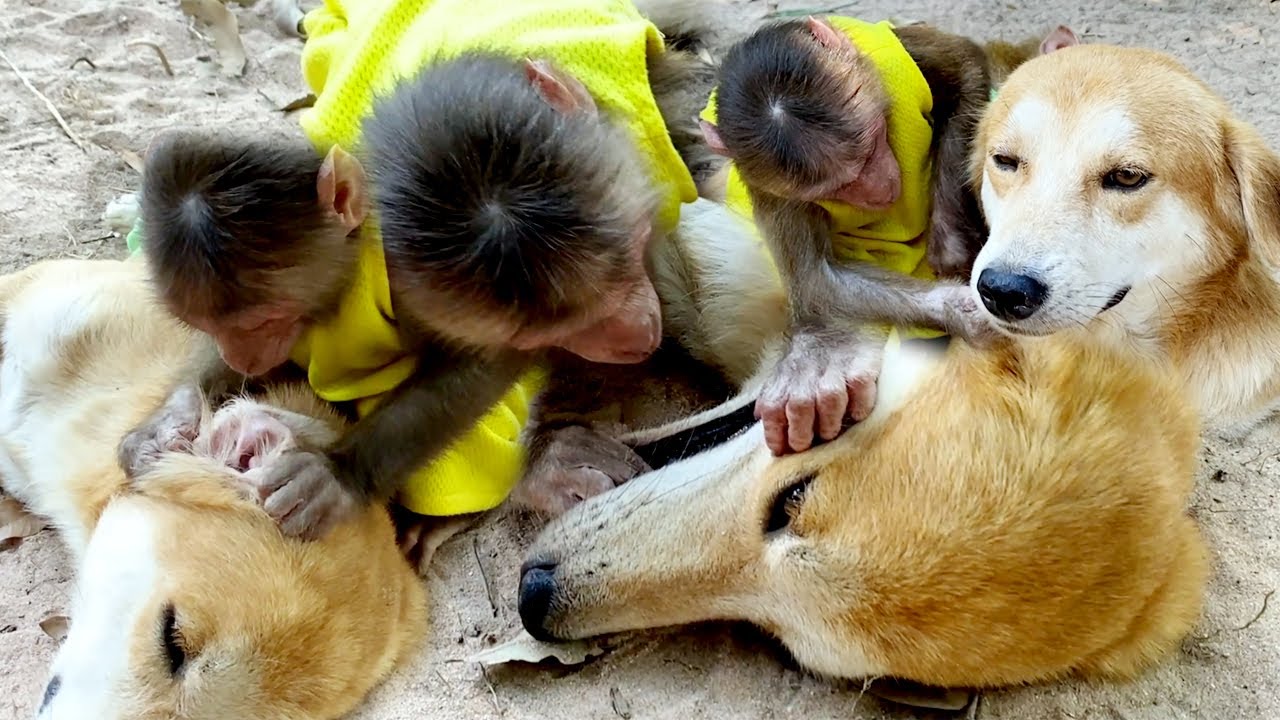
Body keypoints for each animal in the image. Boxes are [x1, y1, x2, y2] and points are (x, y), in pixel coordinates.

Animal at [121, 0, 732, 534]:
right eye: (222, 329)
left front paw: (341, 473)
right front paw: (172, 414)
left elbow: (478, 365)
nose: (639, 335)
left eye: (264, 322)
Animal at [697, 17, 1079, 456]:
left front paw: (951, 243)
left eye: (874, 142)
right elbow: (817, 279)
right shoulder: (769, 185)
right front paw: (958, 308)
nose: (880, 189)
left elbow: (965, 67)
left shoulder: (899, 53)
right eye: (839, 187)